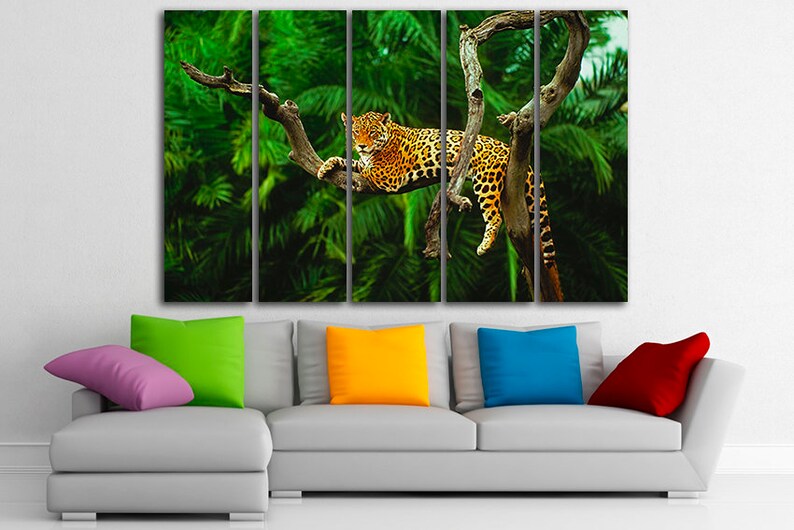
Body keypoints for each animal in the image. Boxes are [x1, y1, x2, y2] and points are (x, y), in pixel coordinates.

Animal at [317, 111, 562, 299]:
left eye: (372, 132)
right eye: (356, 132)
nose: (361, 145)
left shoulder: (386, 176)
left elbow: (363, 166)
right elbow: (351, 161)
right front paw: (326, 166)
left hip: (486, 180)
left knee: (495, 216)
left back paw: (484, 246)